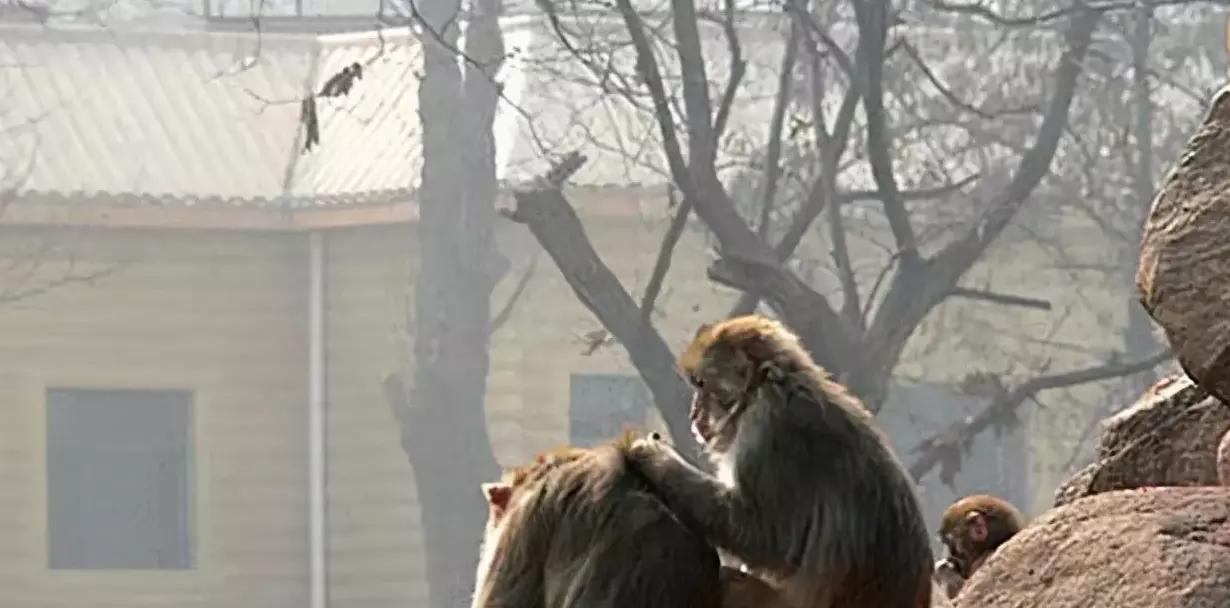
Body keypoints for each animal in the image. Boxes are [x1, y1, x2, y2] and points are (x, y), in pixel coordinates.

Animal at [626, 315, 935, 608]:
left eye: (703, 385)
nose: (694, 415)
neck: (769, 389)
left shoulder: (771, 433)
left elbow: (765, 538)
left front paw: (657, 458)